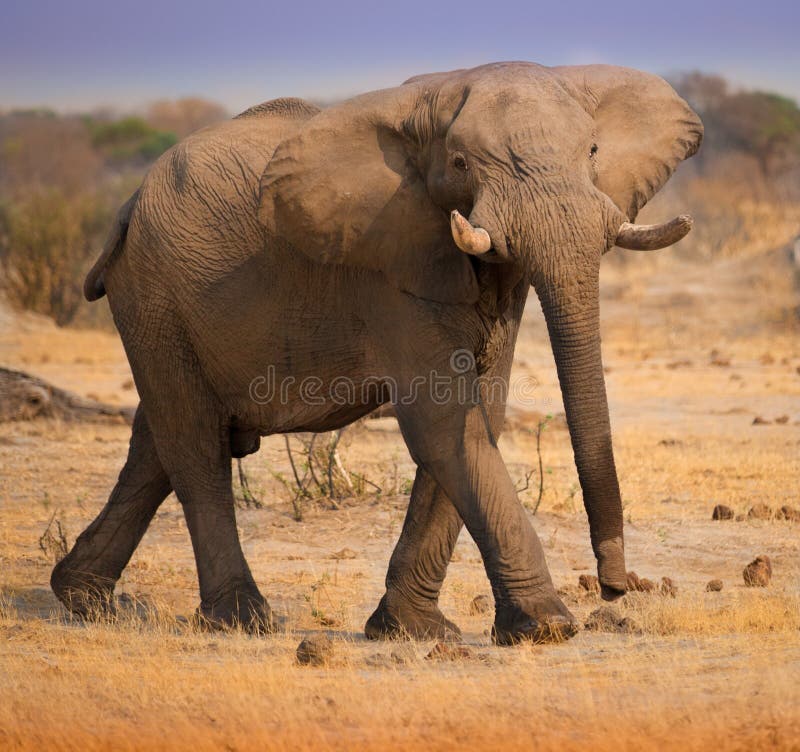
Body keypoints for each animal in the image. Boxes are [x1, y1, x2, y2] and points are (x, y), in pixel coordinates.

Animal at [51, 62, 702, 645]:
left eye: (592, 150)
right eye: (461, 163)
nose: (615, 588)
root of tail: (128, 203)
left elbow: (479, 416)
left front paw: (412, 631)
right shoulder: (388, 262)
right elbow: (442, 420)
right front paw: (547, 628)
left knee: (156, 439)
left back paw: (82, 598)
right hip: (155, 290)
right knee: (193, 441)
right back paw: (241, 621)